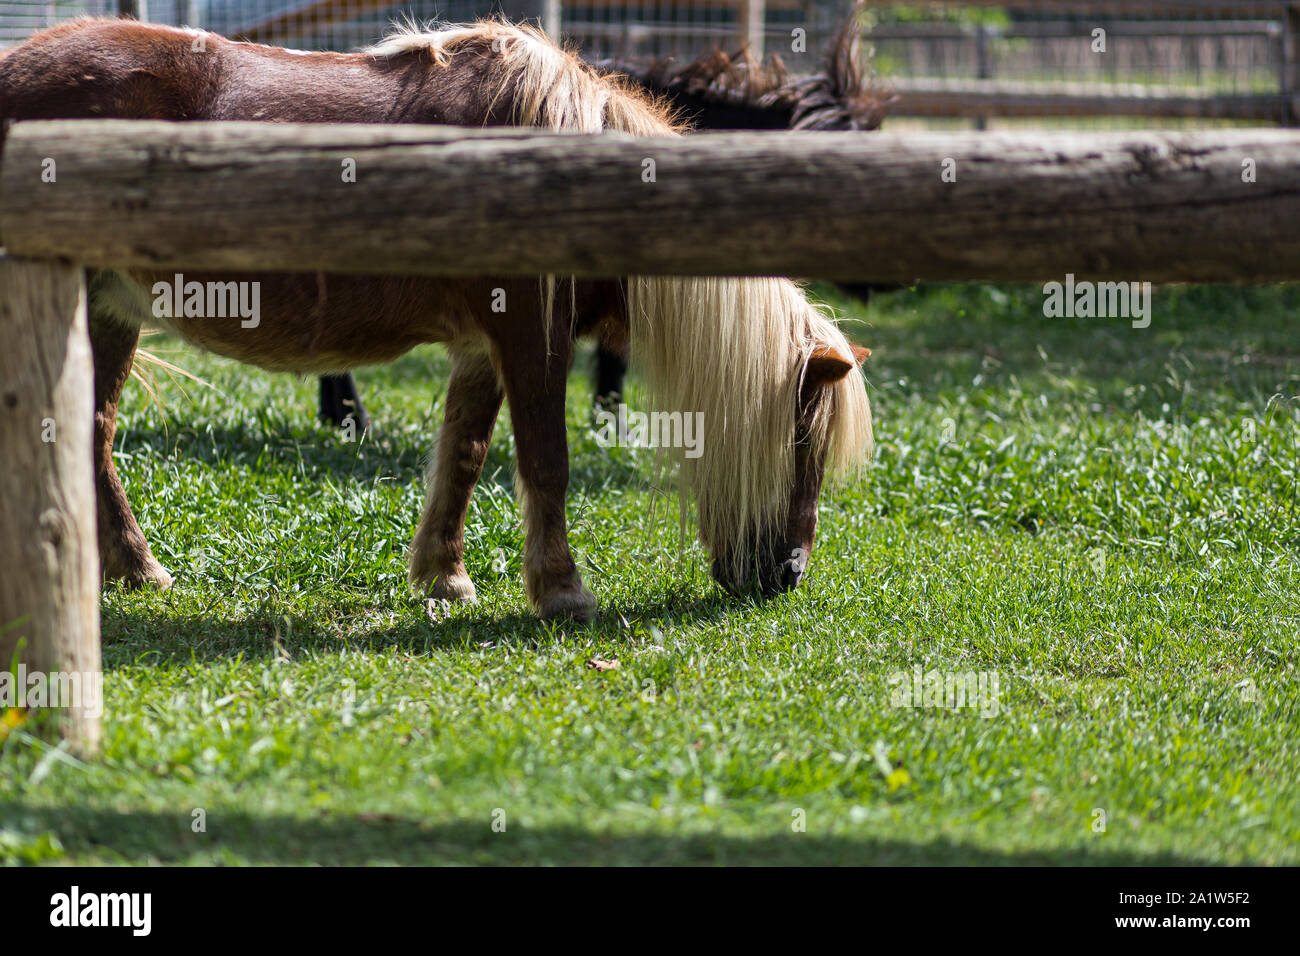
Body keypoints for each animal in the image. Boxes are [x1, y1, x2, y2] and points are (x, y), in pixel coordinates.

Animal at [0, 17, 873, 621]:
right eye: (801, 439)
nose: (787, 576)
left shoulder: (483, 348)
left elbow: (465, 454)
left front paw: (445, 576)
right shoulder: (533, 338)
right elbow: (545, 460)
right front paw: (562, 590)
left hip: (106, 308)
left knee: (93, 432)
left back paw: (136, 569)